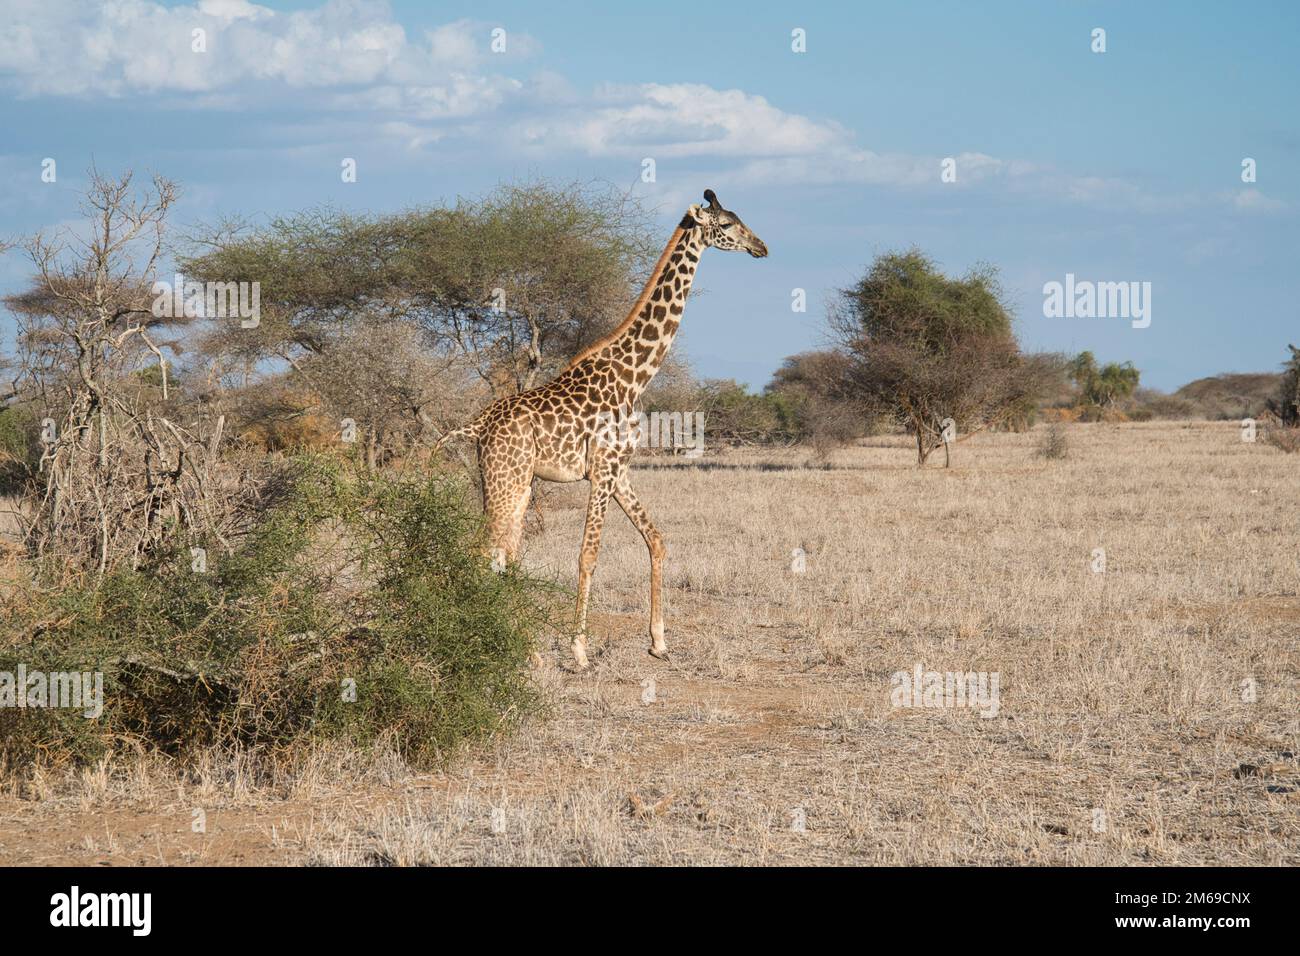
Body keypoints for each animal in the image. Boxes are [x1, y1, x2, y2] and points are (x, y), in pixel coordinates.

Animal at [436, 189, 768, 669]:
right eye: (725, 224)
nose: (761, 246)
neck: (635, 375)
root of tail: (477, 424)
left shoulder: (620, 470)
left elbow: (656, 540)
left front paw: (658, 642)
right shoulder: (603, 469)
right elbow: (588, 555)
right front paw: (579, 649)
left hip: (515, 482)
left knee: (504, 553)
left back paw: (526, 651)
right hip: (505, 477)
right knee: (484, 551)